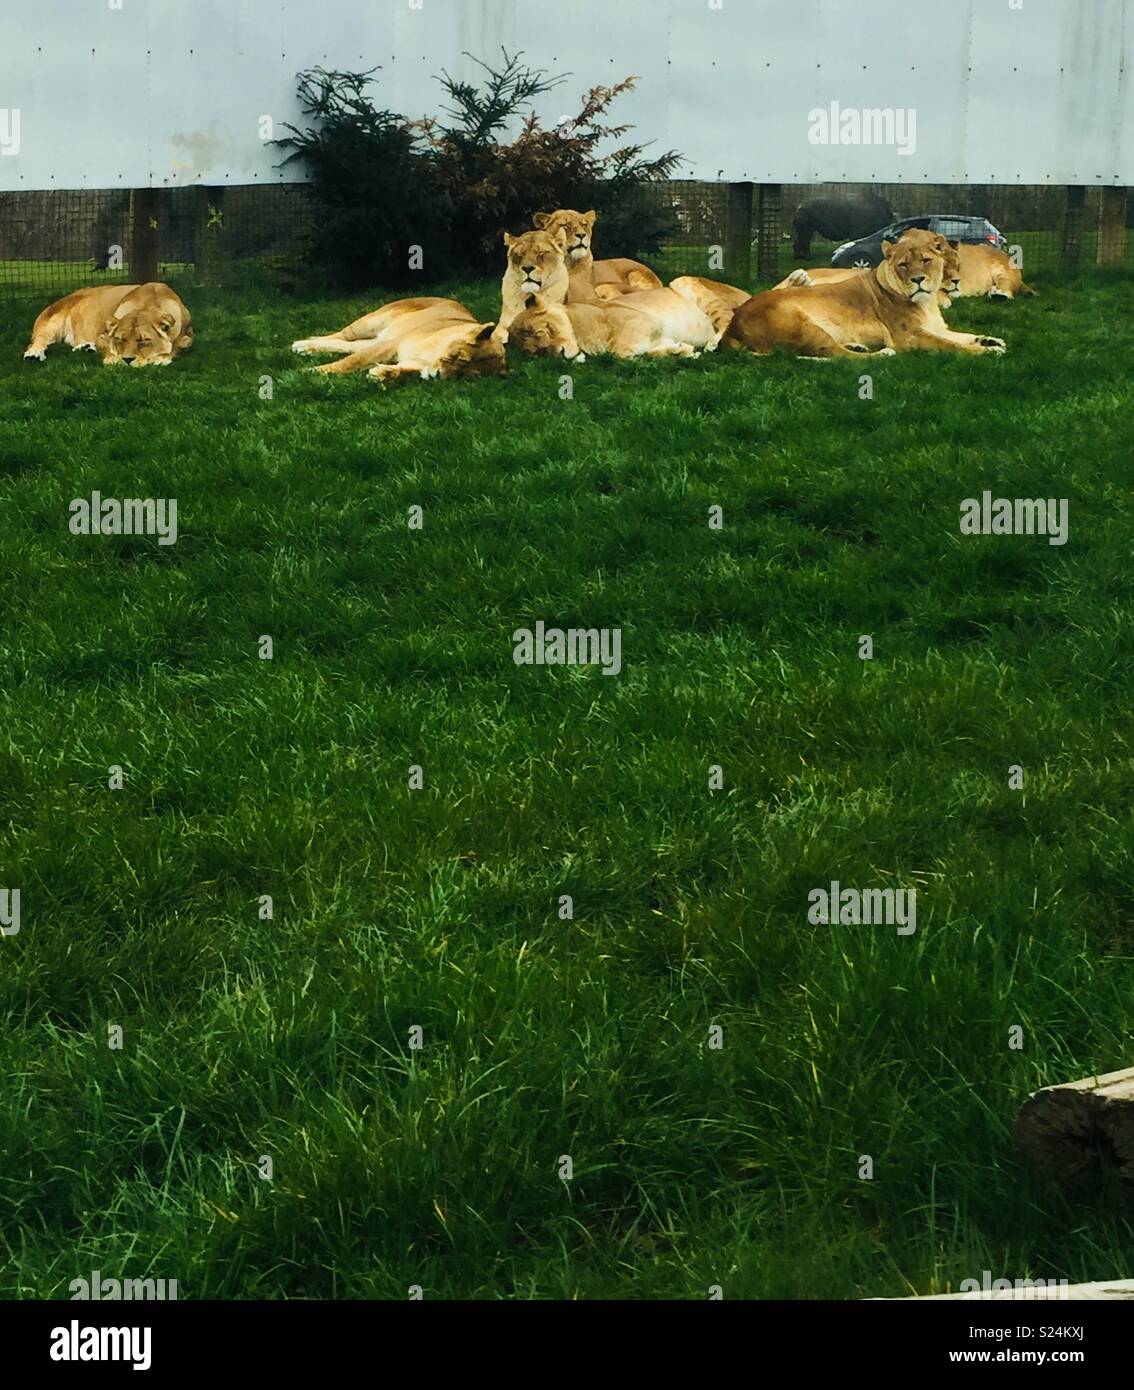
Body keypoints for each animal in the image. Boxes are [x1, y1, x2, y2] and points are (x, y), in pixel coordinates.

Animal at [24, 282, 193, 366]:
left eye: (144, 341)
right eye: (119, 339)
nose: (127, 360)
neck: (150, 303)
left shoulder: (188, 337)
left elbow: (179, 345)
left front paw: (161, 358)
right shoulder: (102, 336)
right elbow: (107, 348)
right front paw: (113, 359)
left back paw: (86, 347)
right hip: (50, 321)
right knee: (39, 340)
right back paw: (34, 354)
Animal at [291, 297, 506, 382]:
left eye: (464, 375)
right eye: (456, 357)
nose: (439, 375)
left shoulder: (411, 361)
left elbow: (405, 371)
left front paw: (382, 373)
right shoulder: (391, 345)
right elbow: (350, 362)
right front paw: (310, 372)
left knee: (347, 345)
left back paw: (304, 348)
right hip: (370, 323)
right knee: (341, 336)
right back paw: (303, 344)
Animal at [532, 210, 662, 303]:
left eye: (584, 225)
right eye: (566, 225)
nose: (581, 235)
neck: (566, 263)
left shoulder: (584, 295)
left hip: (635, 275)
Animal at [724, 229, 1007, 358]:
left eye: (926, 260)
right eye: (904, 265)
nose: (918, 280)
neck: (927, 302)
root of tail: (733, 323)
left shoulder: (936, 327)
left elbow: (961, 335)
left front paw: (990, 340)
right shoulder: (910, 338)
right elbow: (951, 345)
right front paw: (984, 351)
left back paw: (857, 345)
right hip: (803, 325)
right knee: (840, 357)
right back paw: (881, 353)